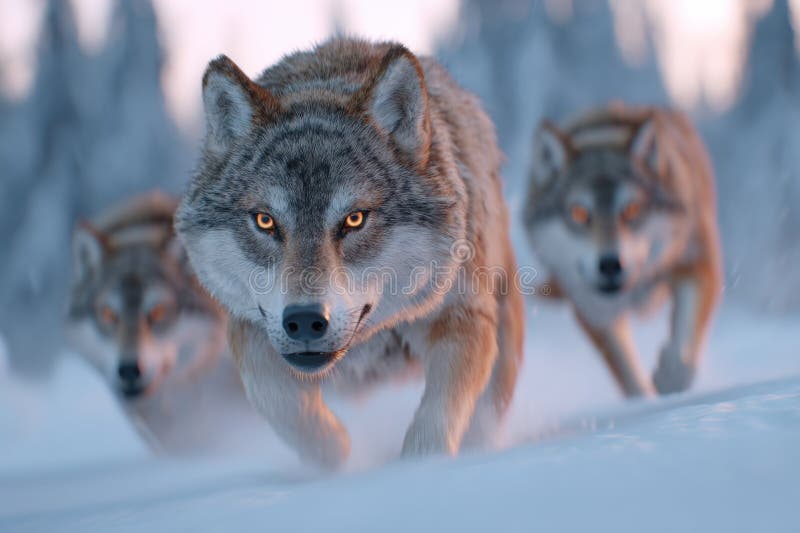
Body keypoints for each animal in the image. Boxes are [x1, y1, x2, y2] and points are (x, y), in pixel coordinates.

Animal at [175, 37, 524, 468]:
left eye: (354, 219)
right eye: (265, 221)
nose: (305, 320)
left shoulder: (460, 315)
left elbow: (437, 416)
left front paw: (420, 468)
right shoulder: (250, 327)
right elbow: (283, 405)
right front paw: (340, 462)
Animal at [523, 104, 722, 397]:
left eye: (631, 209)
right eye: (579, 213)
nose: (609, 264)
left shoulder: (697, 262)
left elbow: (685, 335)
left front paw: (671, 379)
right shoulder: (592, 308)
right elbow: (626, 373)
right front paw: (647, 404)